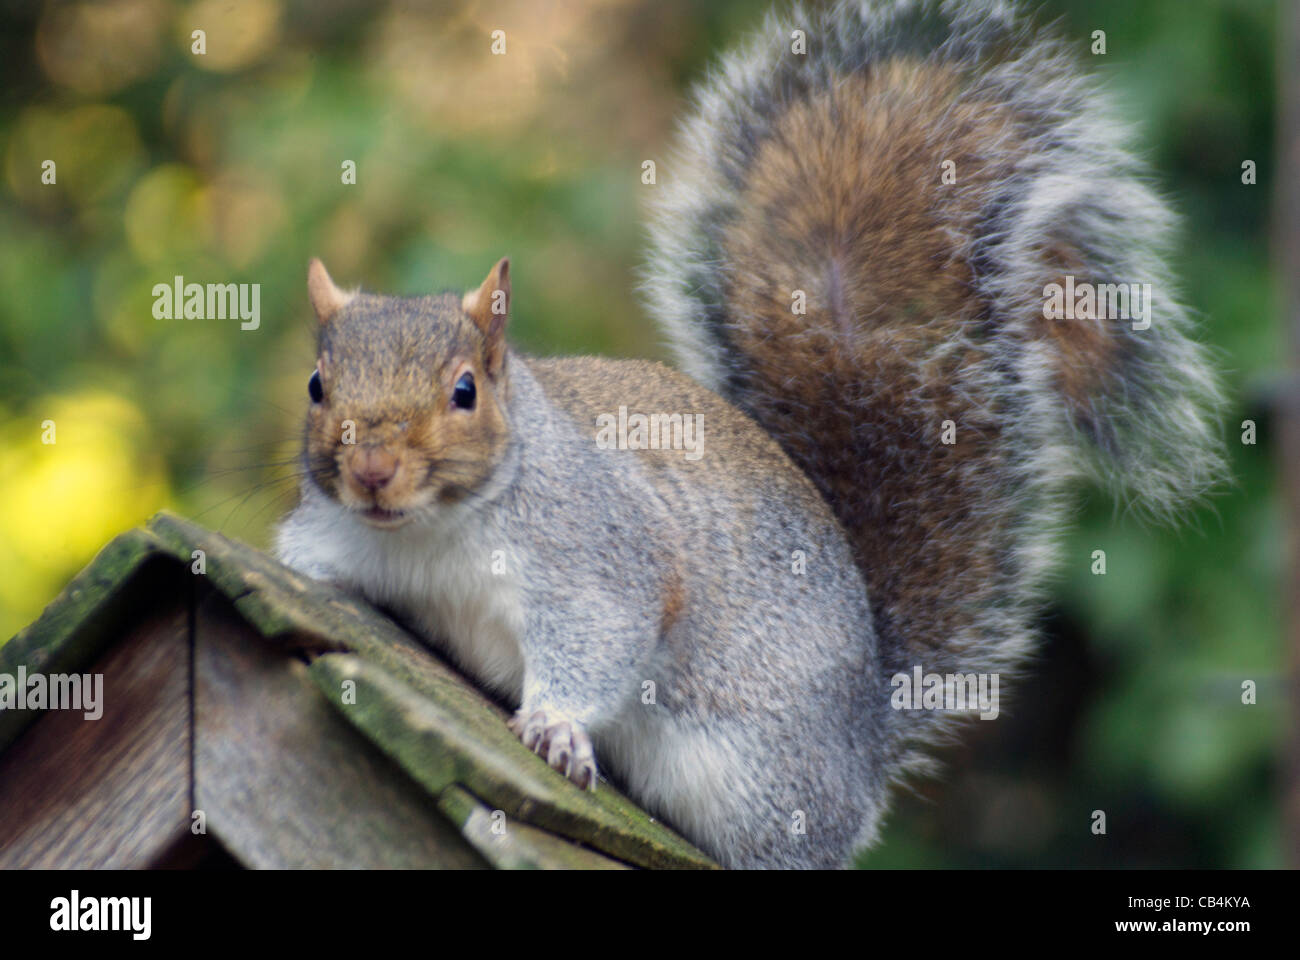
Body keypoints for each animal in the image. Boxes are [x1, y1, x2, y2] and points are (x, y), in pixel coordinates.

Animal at [275, 0, 1225, 869]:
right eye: (318, 386)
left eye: (465, 392)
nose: (371, 470)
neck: (430, 535)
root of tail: (868, 740)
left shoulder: (599, 556)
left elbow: (602, 637)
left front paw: (555, 728)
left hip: (767, 792)